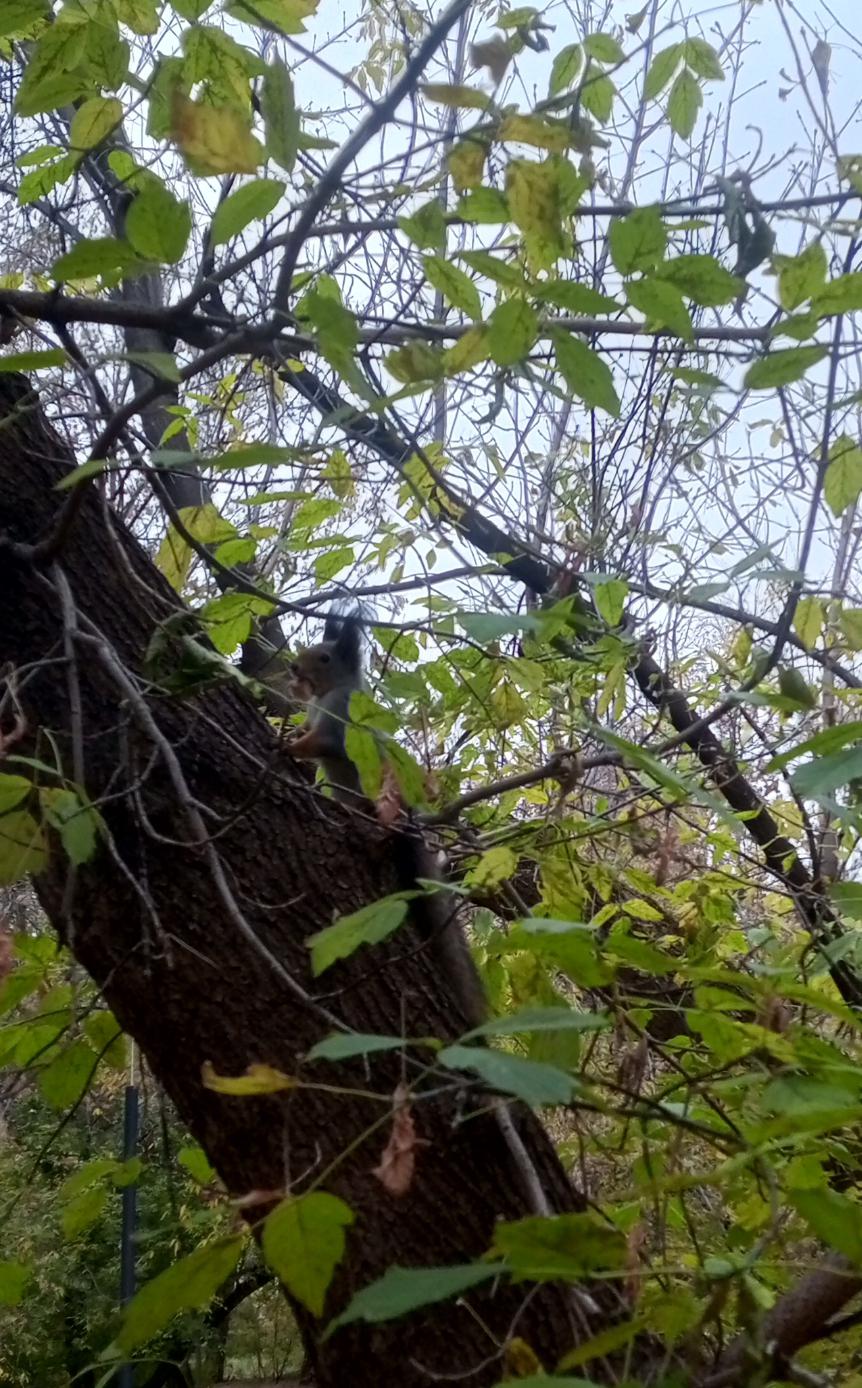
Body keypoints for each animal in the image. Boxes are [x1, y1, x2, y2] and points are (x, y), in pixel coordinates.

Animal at [285, 611, 488, 1032]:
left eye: (325, 657)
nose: (293, 667)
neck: (325, 696)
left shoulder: (341, 721)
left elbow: (320, 743)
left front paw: (289, 746)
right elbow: (307, 733)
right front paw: (291, 733)